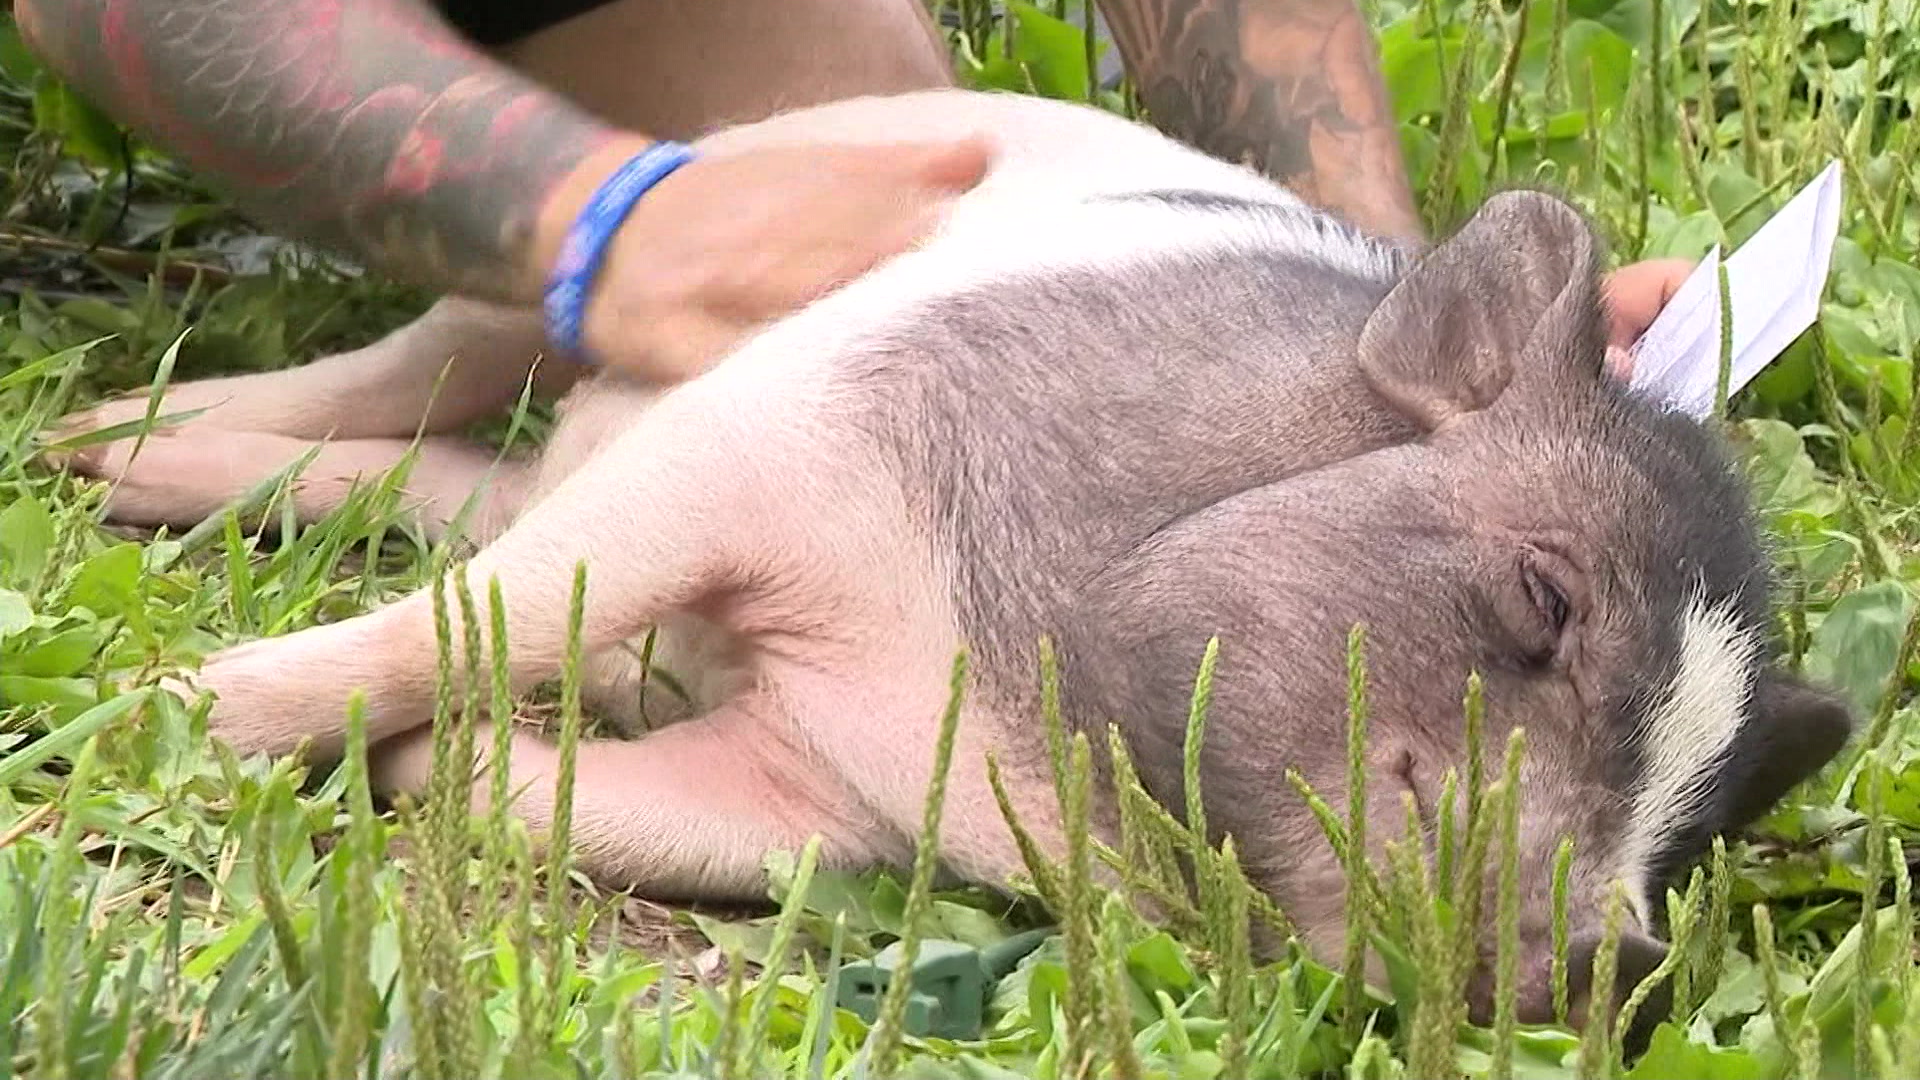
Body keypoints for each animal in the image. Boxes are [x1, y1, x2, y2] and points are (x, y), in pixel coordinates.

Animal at [49, 87, 1852, 1032]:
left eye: (1696, 828)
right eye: (1545, 594)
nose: (1617, 964)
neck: (997, 697)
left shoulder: (819, 800)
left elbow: (542, 787)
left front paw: (427, 766)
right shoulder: (776, 432)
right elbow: (476, 621)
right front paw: (171, 722)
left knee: (444, 483)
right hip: (686, 226)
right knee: (417, 383)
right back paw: (101, 444)